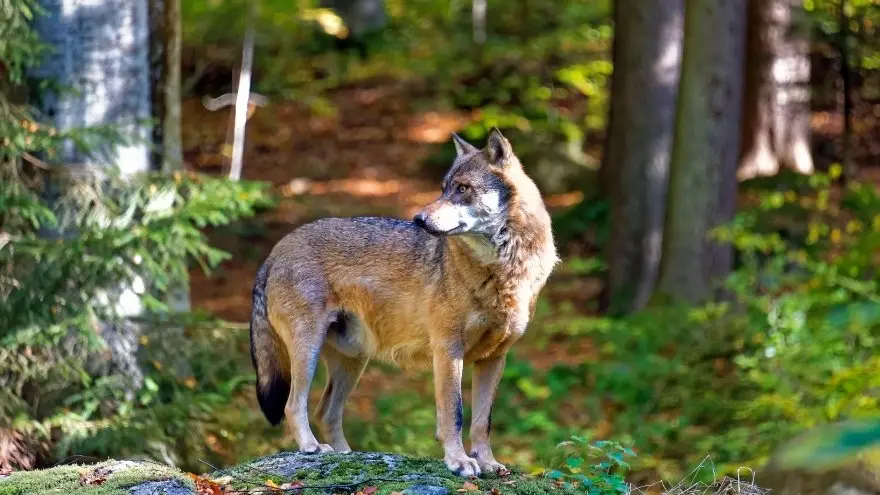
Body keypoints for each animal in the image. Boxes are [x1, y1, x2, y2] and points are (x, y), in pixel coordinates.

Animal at [249, 128, 558, 477]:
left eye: (463, 189)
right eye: (444, 188)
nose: (419, 219)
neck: (503, 269)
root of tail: (274, 252)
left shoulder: (494, 358)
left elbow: (482, 422)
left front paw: (488, 462)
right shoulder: (447, 349)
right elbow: (454, 414)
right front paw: (459, 461)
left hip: (352, 361)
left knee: (325, 411)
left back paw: (346, 456)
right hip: (309, 350)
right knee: (294, 405)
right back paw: (311, 447)